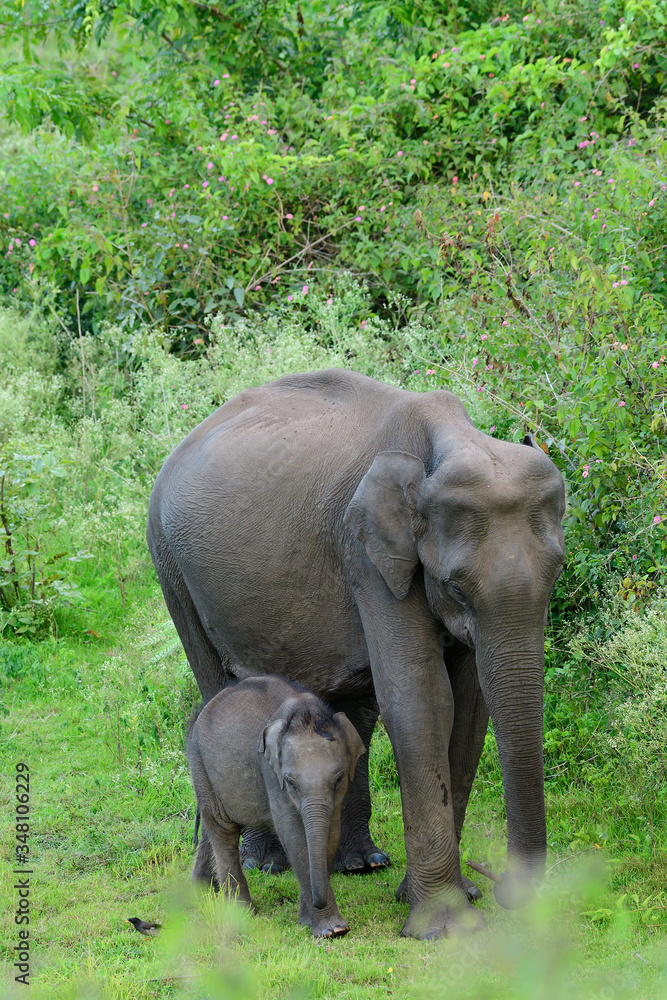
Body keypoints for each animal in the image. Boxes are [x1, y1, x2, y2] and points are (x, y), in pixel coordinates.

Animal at [187, 676, 365, 937]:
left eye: (339, 778)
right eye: (291, 782)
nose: (317, 902)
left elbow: (331, 834)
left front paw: (308, 922)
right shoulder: (271, 773)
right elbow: (293, 835)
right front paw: (332, 930)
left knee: (213, 829)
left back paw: (198, 894)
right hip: (200, 765)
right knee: (222, 829)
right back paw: (241, 912)